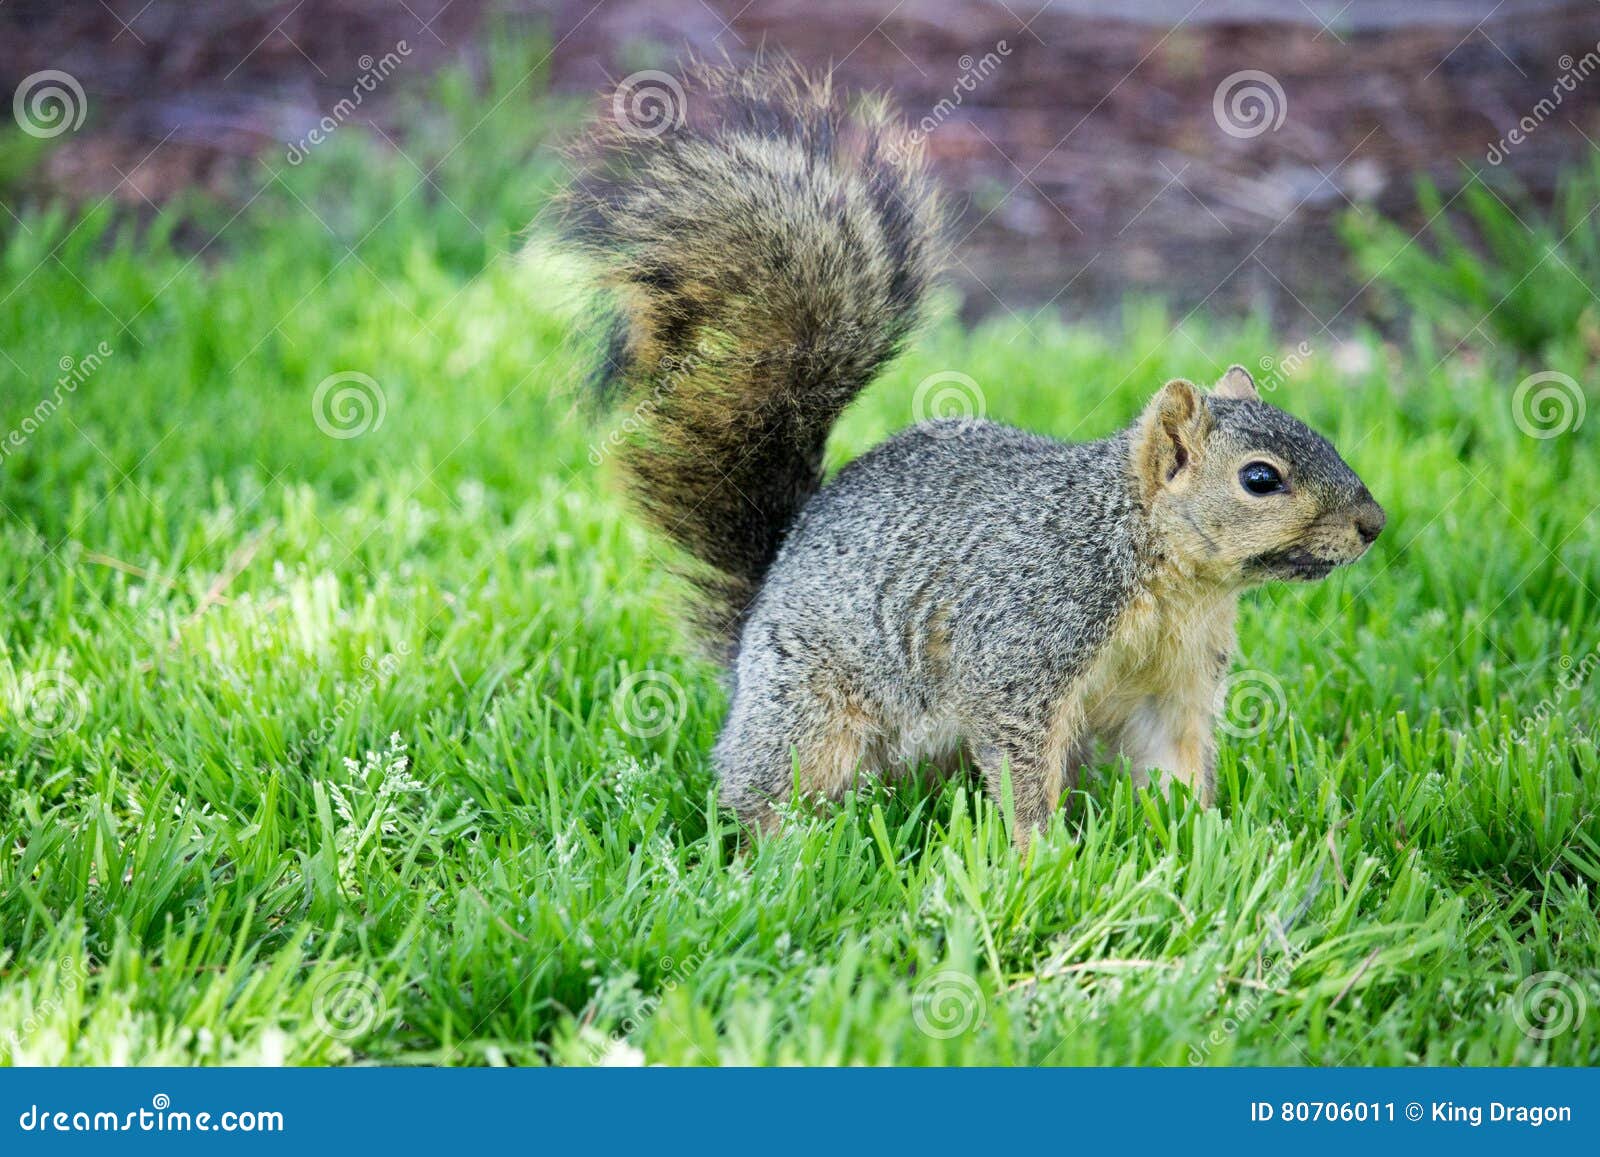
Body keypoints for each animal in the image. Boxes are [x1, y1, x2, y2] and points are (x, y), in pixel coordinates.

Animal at [559, 60, 1386, 850]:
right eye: (1260, 478)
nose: (1373, 524)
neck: (1160, 572)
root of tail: (751, 630)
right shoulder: (1021, 650)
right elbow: (1022, 767)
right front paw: (1040, 858)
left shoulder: (1173, 681)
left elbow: (1174, 766)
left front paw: (1213, 845)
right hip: (811, 713)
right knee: (768, 793)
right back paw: (786, 852)